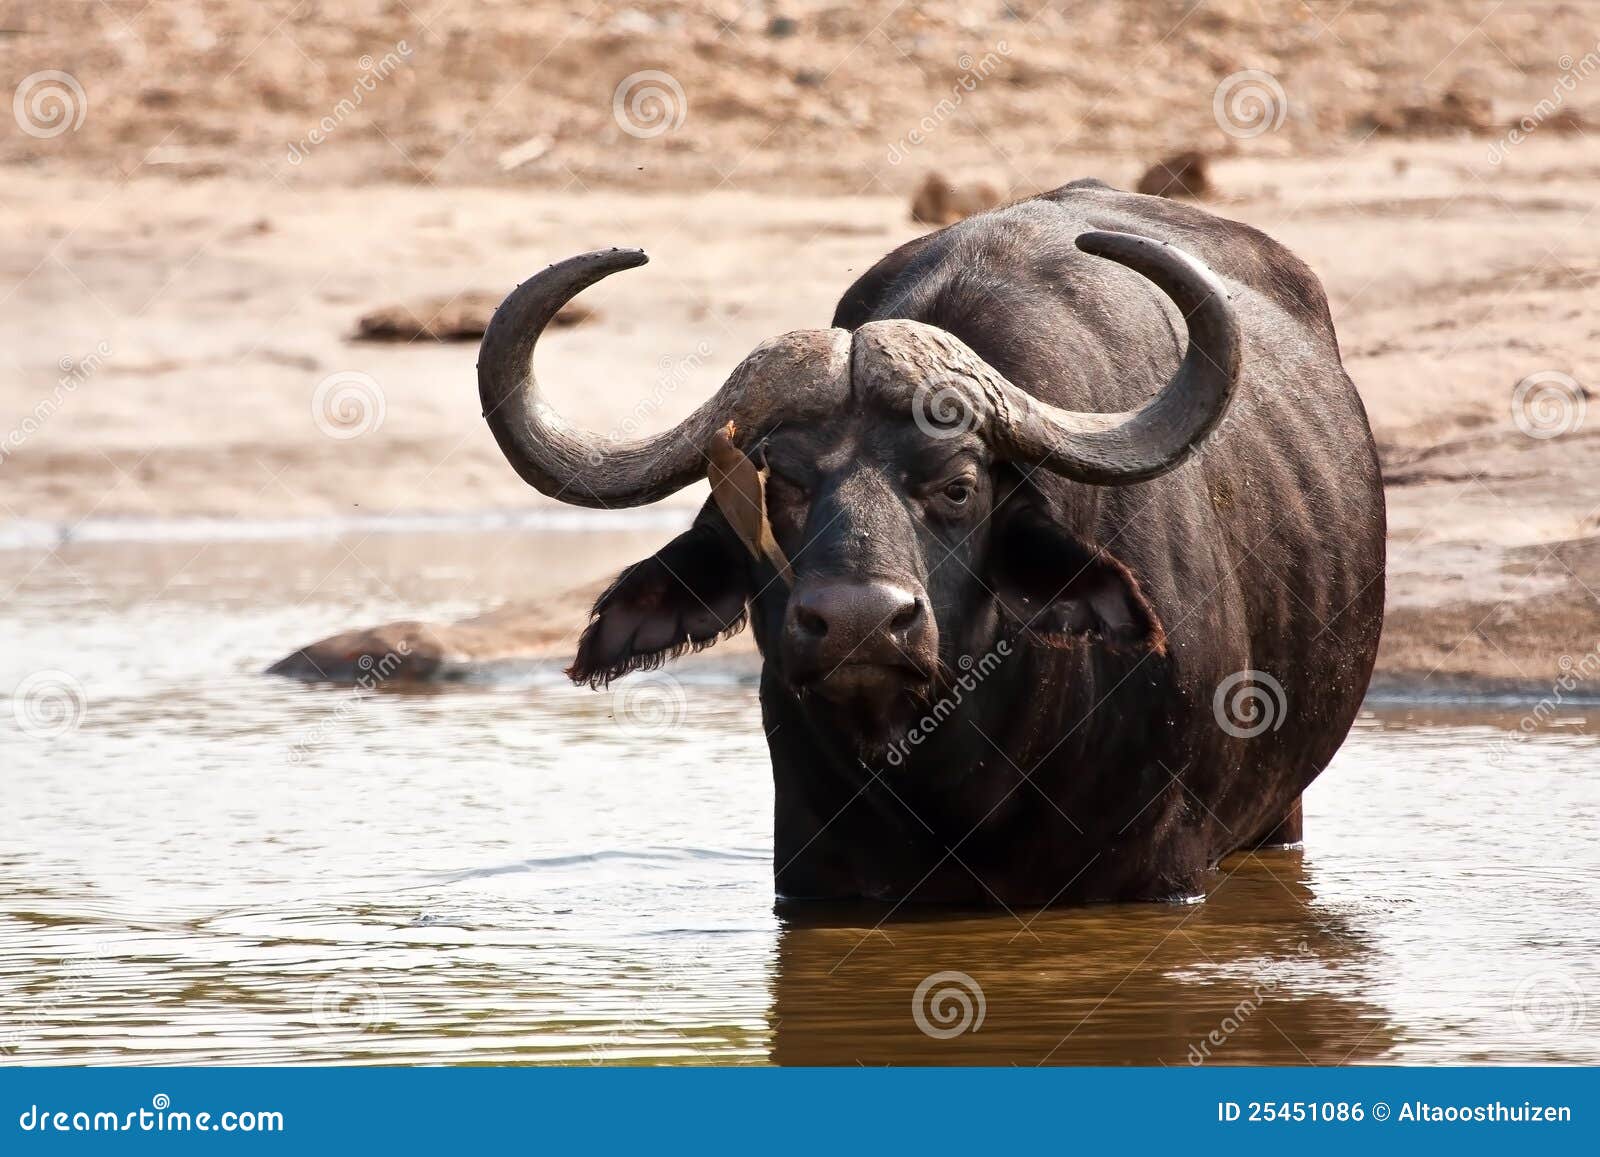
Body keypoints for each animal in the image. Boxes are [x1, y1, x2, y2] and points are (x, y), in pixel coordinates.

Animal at [475, 178, 1386, 906]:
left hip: (1281, 815)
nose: (859, 623)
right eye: (779, 485)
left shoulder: (1161, 875)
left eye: (957, 486)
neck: (957, 776)